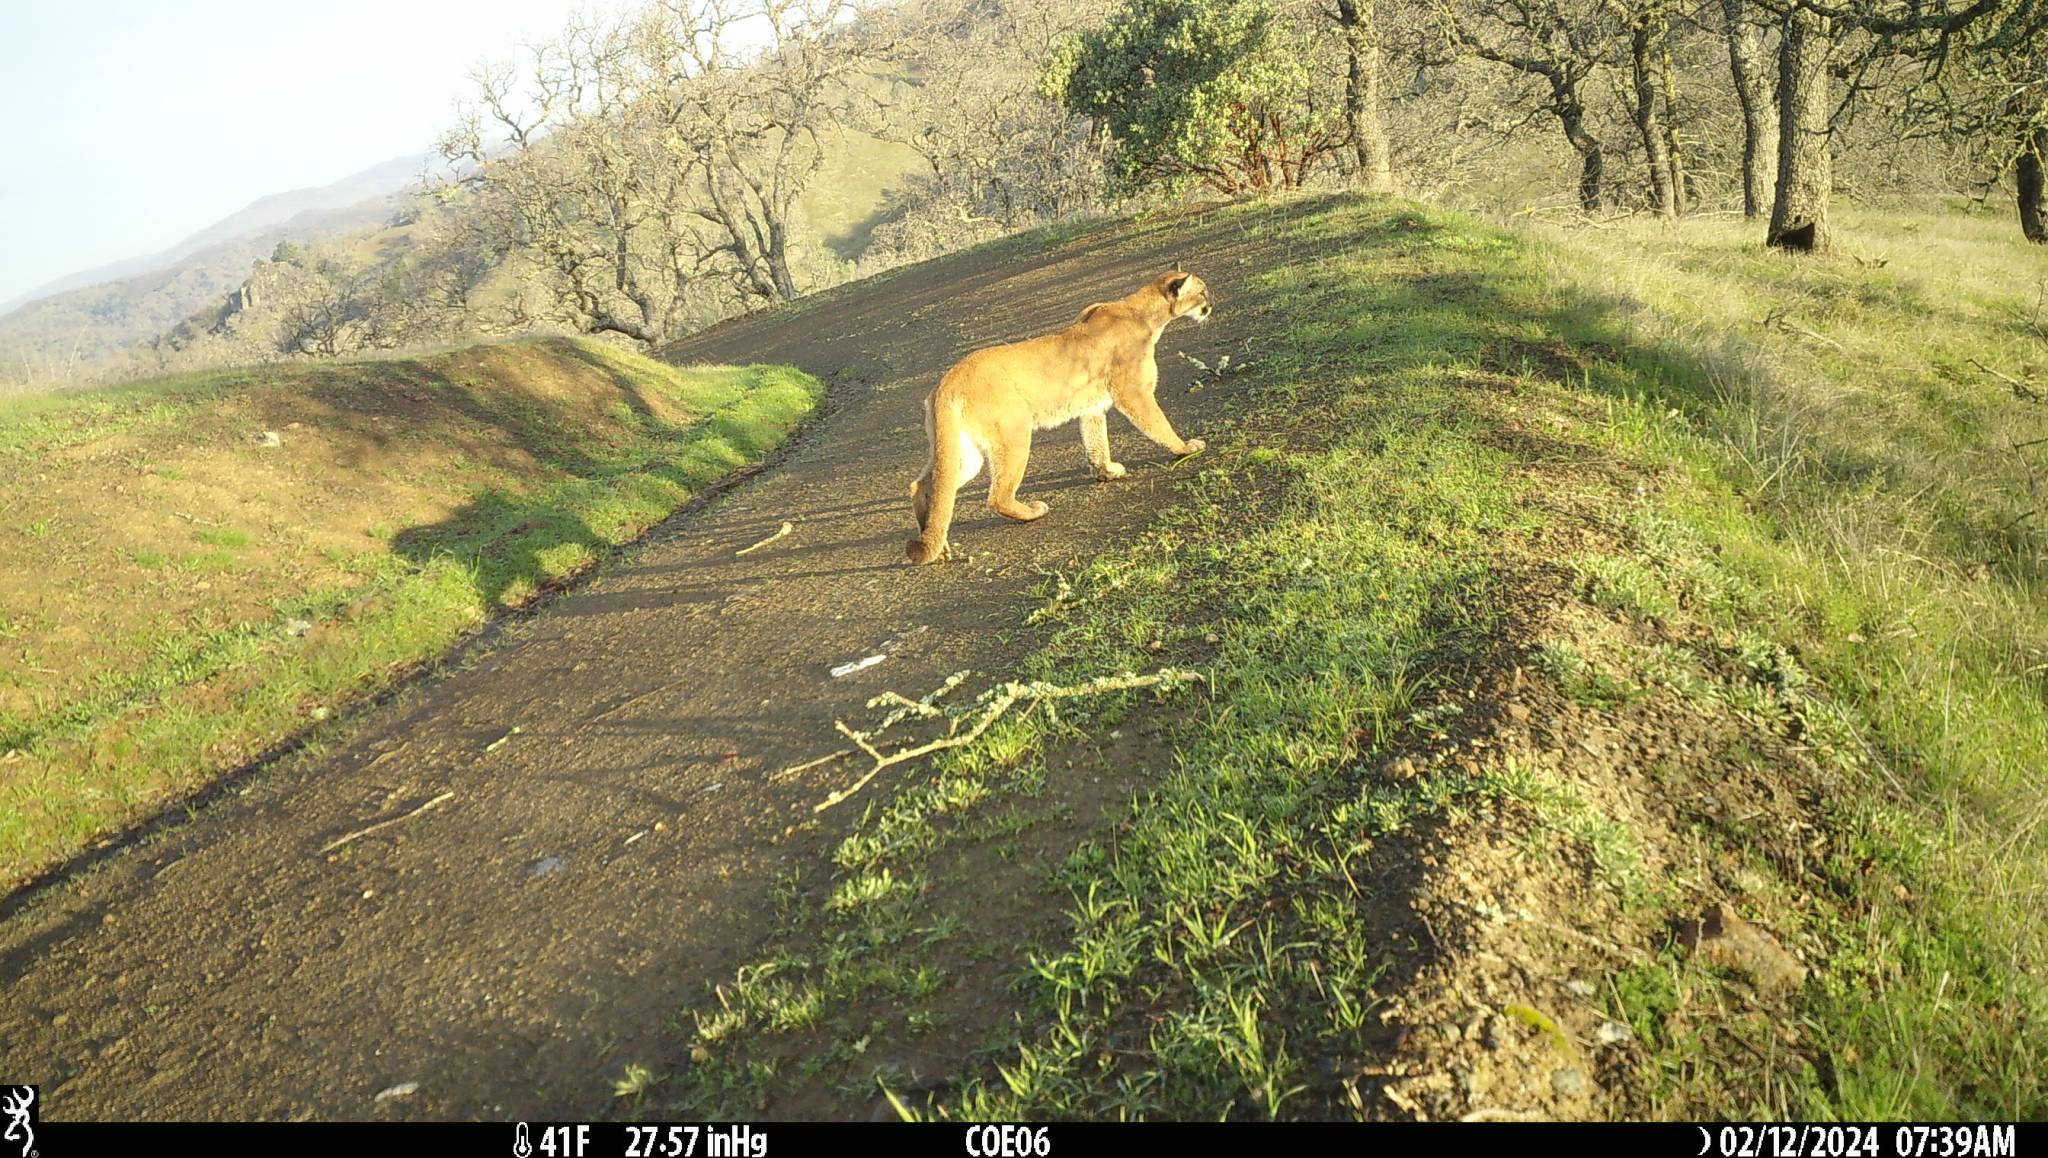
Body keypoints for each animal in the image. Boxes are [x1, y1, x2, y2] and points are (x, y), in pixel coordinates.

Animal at [906, 268, 1214, 564]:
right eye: (1202, 291)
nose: (1212, 304)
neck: (1141, 312)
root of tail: (946, 382)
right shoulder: (1134, 393)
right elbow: (1158, 424)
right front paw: (1185, 448)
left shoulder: (1092, 407)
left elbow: (1096, 441)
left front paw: (1106, 471)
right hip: (1013, 436)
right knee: (997, 496)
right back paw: (1033, 511)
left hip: (964, 450)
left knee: (925, 486)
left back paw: (939, 547)